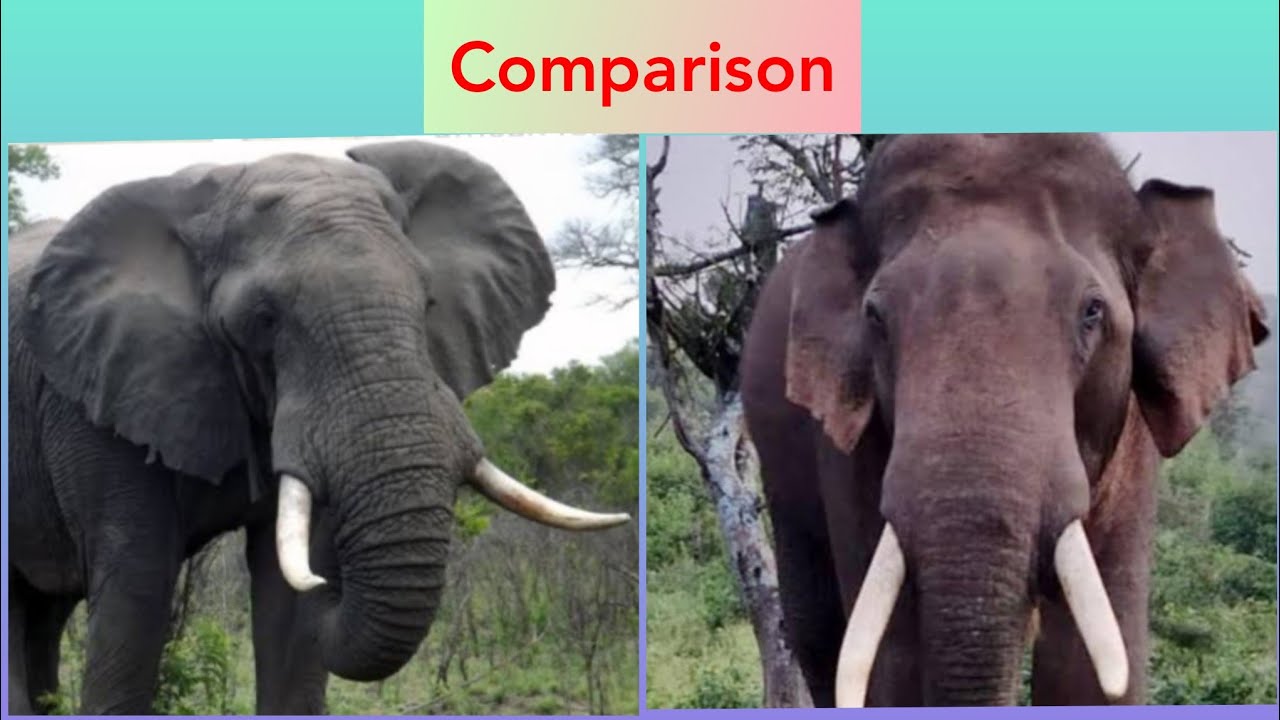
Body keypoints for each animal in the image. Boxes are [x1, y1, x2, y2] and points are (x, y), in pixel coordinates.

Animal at [6, 141, 630, 715]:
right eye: (263, 320)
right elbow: (137, 587)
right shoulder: (97, 396)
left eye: (428, 301)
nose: (333, 586)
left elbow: (284, 605)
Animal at [740, 133, 1268, 707]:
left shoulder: (1131, 442)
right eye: (875, 318)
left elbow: (1090, 661)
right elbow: (892, 659)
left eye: (1092, 311)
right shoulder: (851, 441)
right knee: (819, 633)